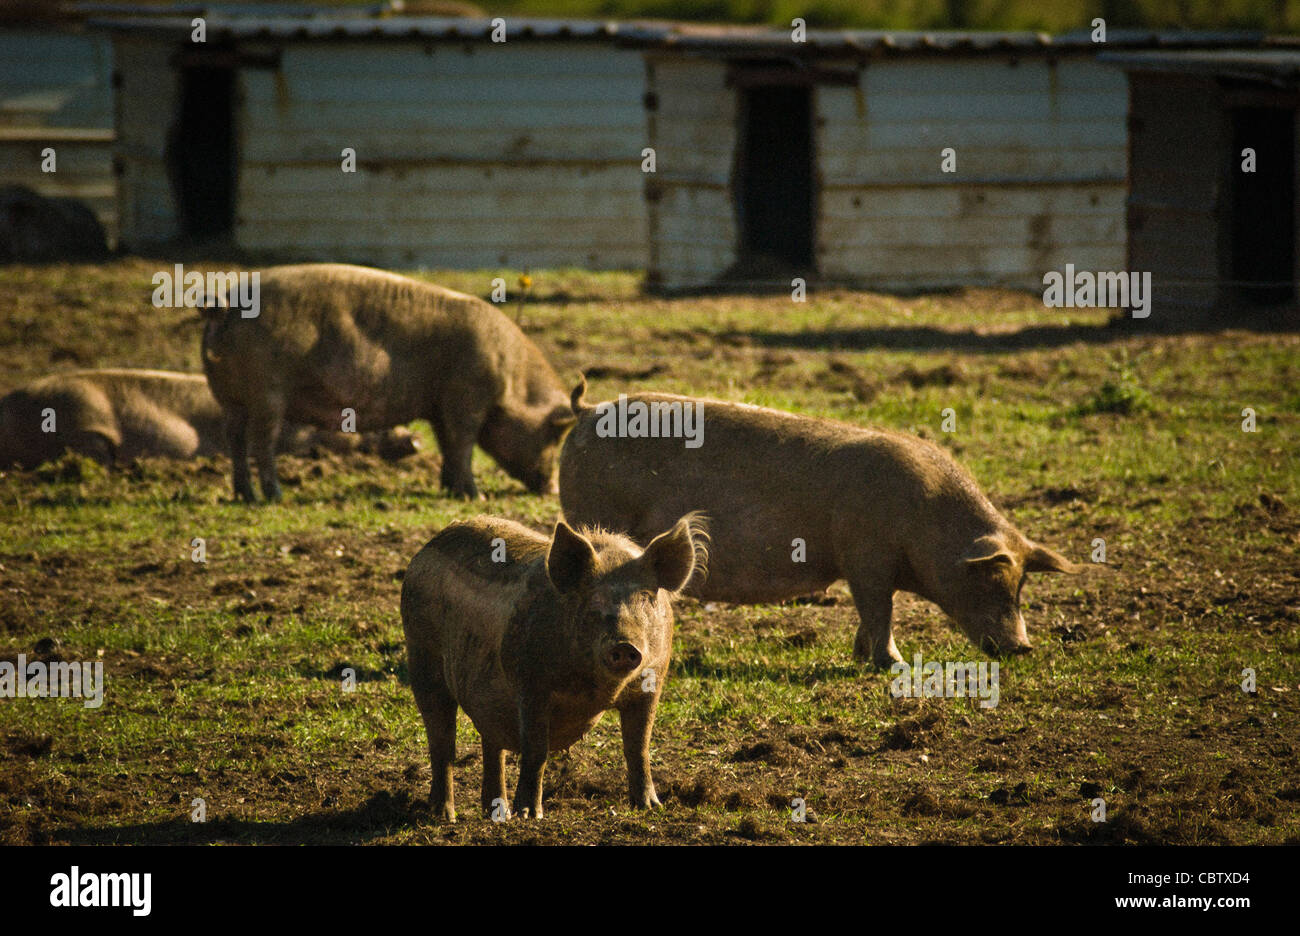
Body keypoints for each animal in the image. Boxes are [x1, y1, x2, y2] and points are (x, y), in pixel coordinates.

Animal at [201, 263, 575, 502]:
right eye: (554, 434)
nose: (553, 490)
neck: (512, 378)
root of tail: (224, 306)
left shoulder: (439, 406)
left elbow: (447, 446)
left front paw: (449, 491)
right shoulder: (467, 396)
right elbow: (463, 443)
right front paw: (476, 497)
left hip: (227, 397)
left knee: (234, 439)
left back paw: (245, 496)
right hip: (267, 392)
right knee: (261, 442)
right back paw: (275, 496)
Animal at [400, 512, 706, 820]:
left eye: (645, 599)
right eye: (593, 602)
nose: (625, 645)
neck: (598, 689)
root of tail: (426, 548)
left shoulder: (651, 683)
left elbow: (638, 747)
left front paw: (651, 807)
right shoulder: (531, 684)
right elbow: (536, 750)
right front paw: (529, 815)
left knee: (491, 743)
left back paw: (498, 815)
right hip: (421, 656)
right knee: (441, 741)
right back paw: (444, 814)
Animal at [559, 382, 1080, 668]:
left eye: (1021, 585)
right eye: (990, 578)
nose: (1023, 648)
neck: (925, 523)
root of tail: (586, 411)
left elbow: (872, 616)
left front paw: (860, 655)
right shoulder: (866, 561)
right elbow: (880, 610)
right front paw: (892, 664)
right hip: (595, 519)